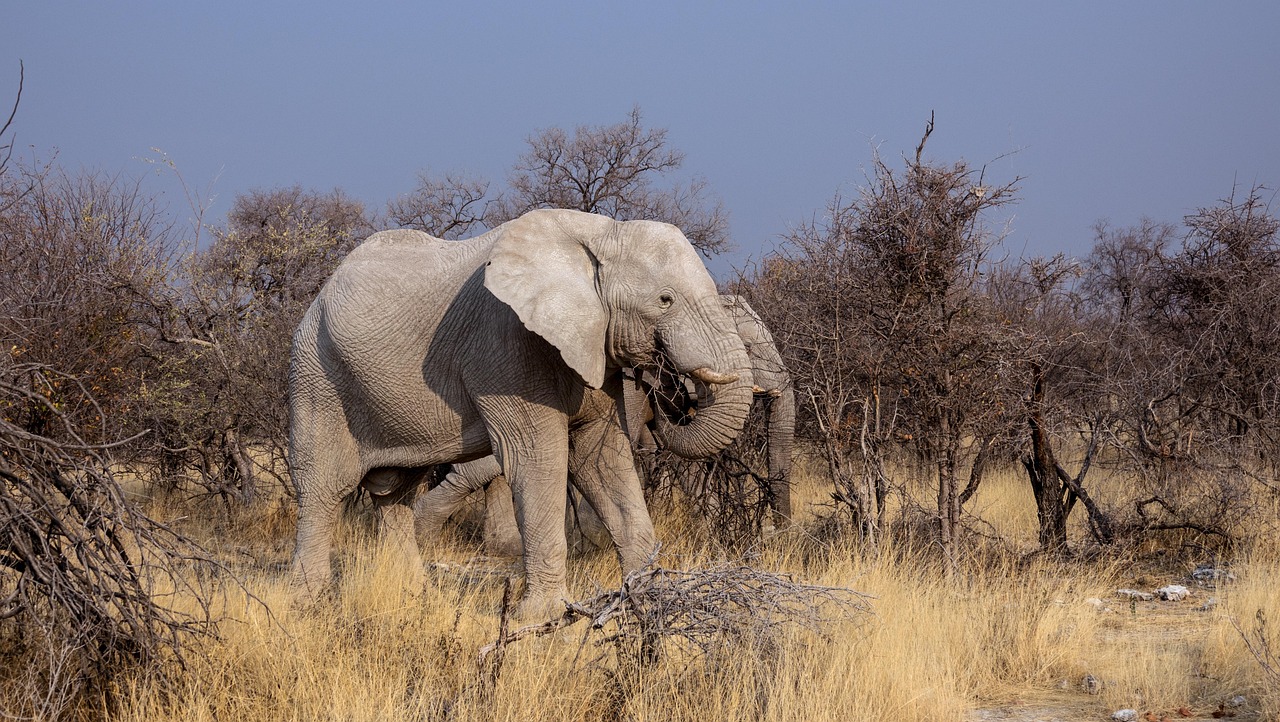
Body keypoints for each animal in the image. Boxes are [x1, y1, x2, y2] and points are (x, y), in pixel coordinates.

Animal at [287, 209, 755, 615]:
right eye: (665, 299)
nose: (667, 392)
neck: (601, 232)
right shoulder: (505, 346)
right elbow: (538, 459)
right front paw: (542, 615)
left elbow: (600, 458)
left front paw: (648, 595)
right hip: (316, 374)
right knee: (324, 488)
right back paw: (305, 603)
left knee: (395, 491)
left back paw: (412, 596)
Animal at [413, 295, 795, 557]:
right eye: (749, 347)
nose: (781, 535)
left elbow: (688, 462)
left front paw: (710, 533)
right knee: (480, 469)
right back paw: (424, 534)